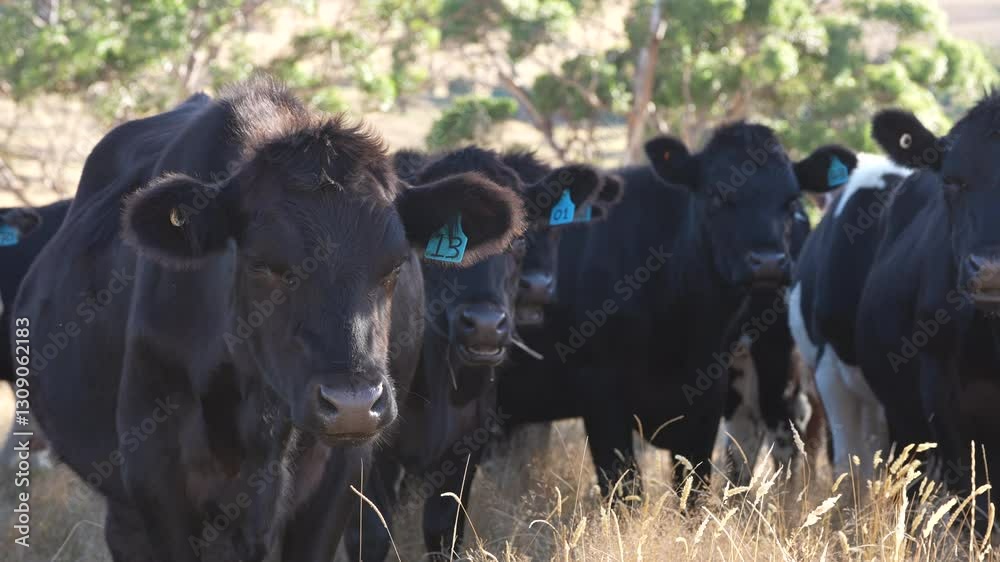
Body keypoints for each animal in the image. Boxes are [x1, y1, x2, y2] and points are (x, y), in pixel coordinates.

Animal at [346, 146, 618, 561]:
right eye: (436, 253)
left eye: (520, 242)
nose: (486, 324)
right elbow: (371, 535)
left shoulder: (466, 447)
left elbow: (445, 531)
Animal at [497, 122, 856, 500]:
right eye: (716, 195)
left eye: (790, 201)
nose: (769, 262)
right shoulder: (601, 399)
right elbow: (625, 490)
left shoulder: (707, 401)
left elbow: (693, 489)